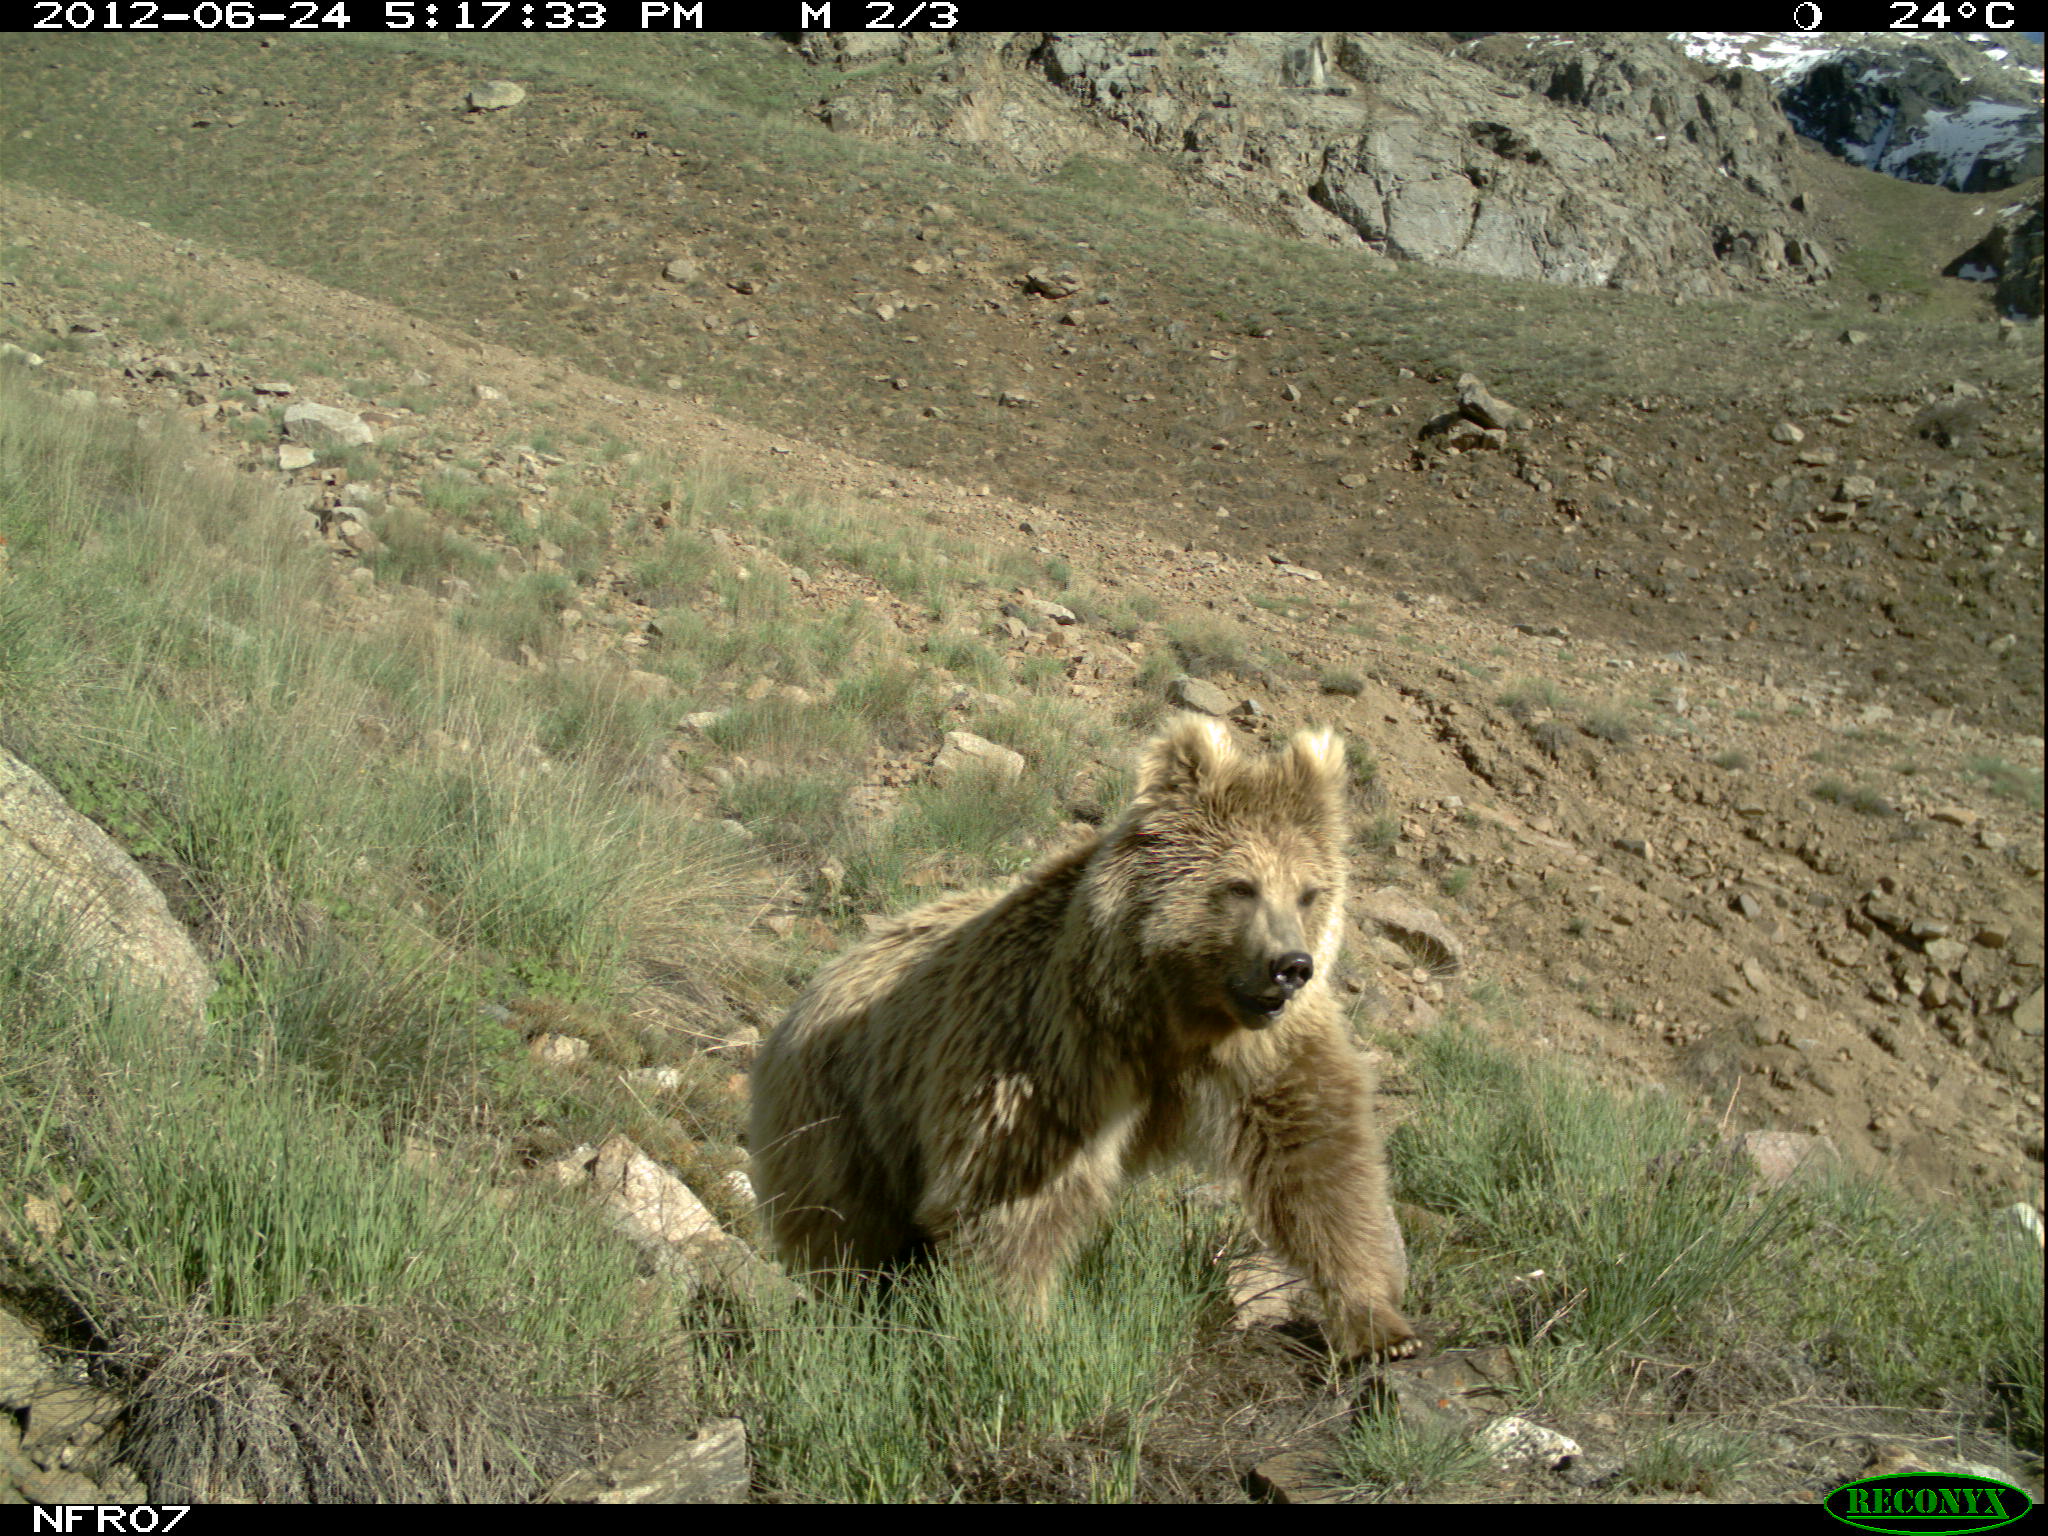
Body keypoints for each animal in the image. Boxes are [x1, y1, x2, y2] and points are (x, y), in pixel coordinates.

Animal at [747, 713, 1418, 1359]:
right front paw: (1017, 1328)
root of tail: (823, 976)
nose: (1291, 966)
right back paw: (851, 1308)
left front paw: (1381, 1326)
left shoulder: (1267, 1054)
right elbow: (1009, 1195)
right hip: (842, 1108)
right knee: (843, 1225)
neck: (1168, 1012)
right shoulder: (1044, 1048)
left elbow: (1317, 1158)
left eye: (1309, 892)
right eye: (1240, 885)